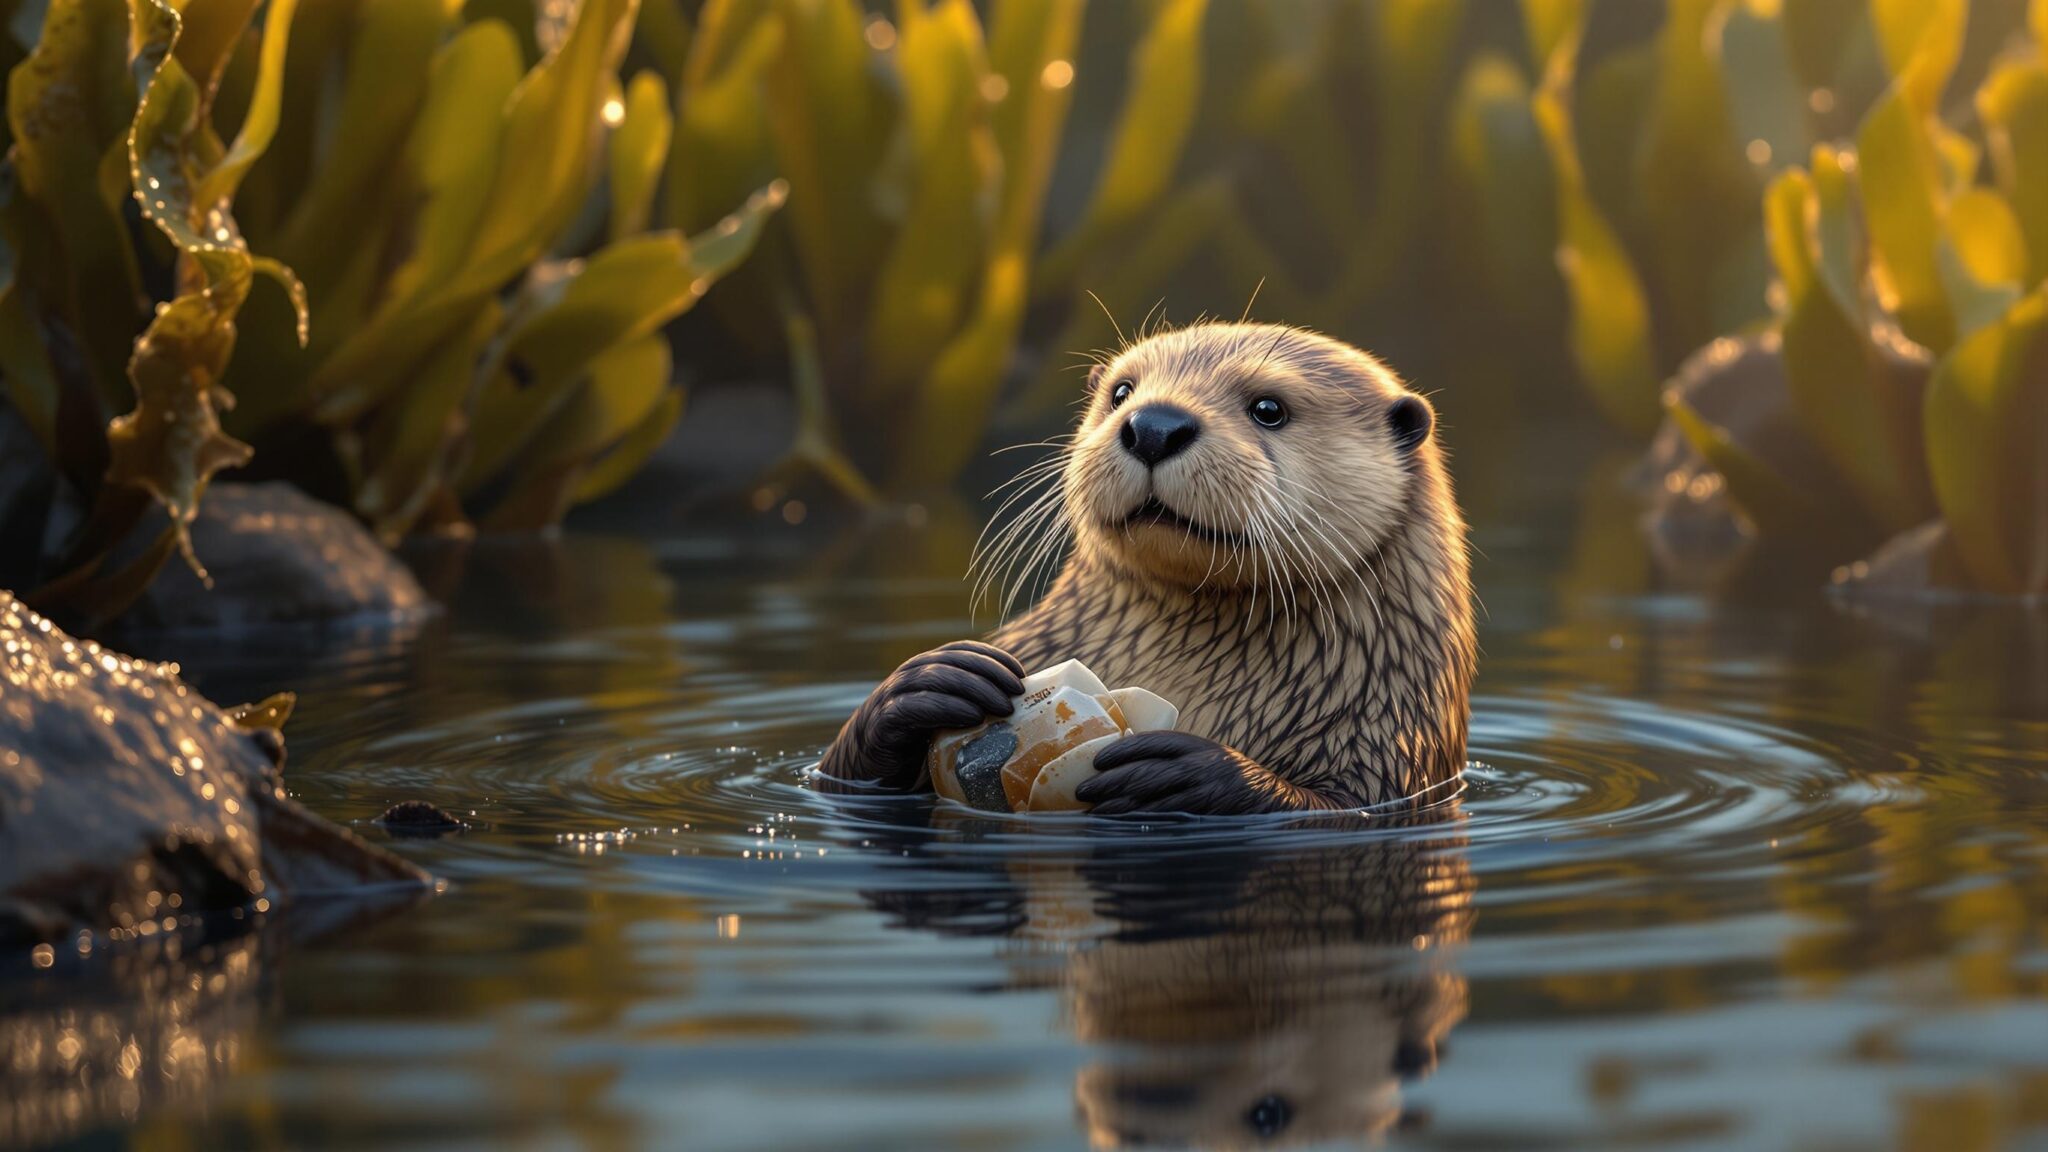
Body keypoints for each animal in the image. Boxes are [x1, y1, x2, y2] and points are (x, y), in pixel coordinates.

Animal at [817, 322, 1476, 814]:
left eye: (1268, 408)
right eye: (1121, 392)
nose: (1155, 424)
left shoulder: (1383, 745)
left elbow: (1333, 806)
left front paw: (1191, 772)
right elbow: (835, 779)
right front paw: (927, 683)